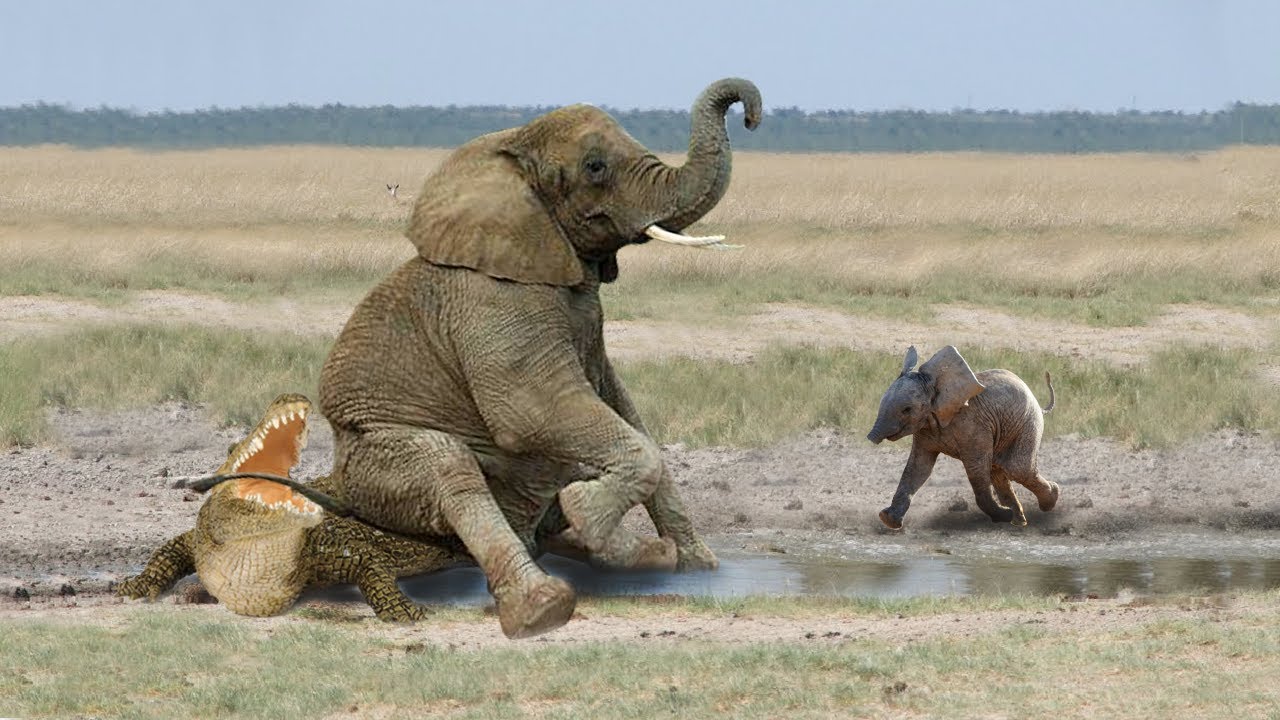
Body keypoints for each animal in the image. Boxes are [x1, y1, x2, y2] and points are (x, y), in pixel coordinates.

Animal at [318, 78, 762, 639]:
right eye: (595, 167)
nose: (748, 114)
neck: (512, 148)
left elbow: (623, 410)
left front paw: (700, 568)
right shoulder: (496, 300)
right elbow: (531, 411)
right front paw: (586, 512)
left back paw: (638, 554)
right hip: (373, 464)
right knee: (451, 469)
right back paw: (542, 607)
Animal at [866, 345, 1061, 529]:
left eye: (907, 410)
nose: (870, 438)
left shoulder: (973, 425)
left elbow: (976, 470)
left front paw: (1003, 515)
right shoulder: (925, 428)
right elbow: (918, 468)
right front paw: (888, 520)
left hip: (1028, 422)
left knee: (1017, 468)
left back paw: (1049, 500)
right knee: (998, 471)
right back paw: (1018, 521)